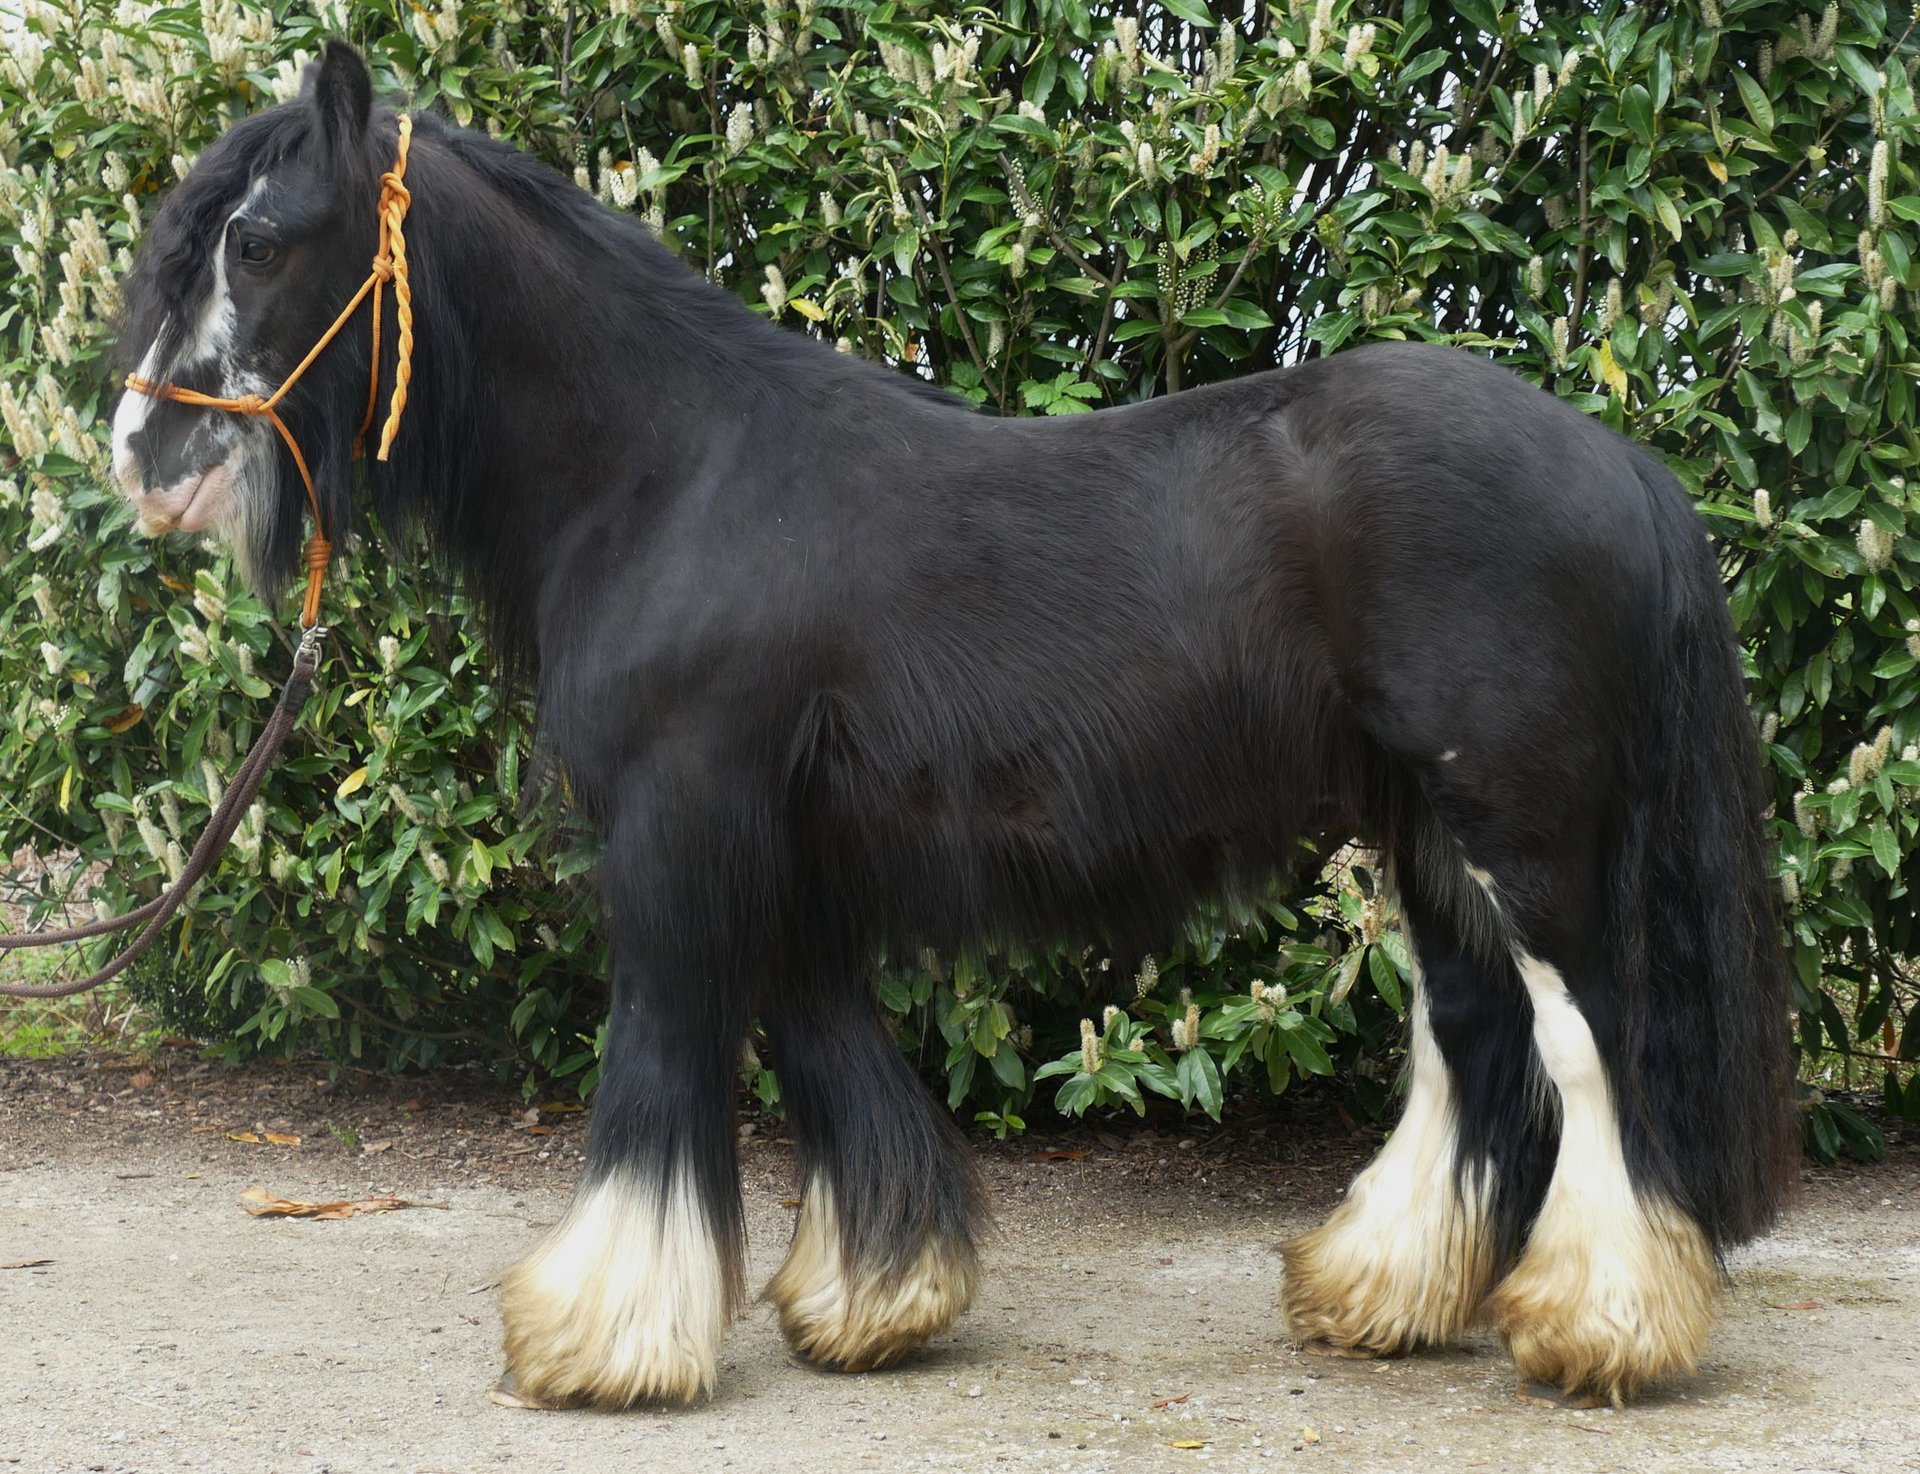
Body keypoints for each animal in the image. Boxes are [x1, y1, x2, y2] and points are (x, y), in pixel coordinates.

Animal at [106, 43, 1793, 1409]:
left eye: (258, 238)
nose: (138, 453)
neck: (670, 473)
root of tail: (1620, 461)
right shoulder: (789, 854)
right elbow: (830, 1055)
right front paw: (874, 1300)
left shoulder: (678, 827)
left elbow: (664, 1054)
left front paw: (597, 1335)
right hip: (1426, 829)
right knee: (1477, 1036)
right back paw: (1381, 1291)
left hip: (1521, 830)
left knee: (1591, 1047)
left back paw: (1601, 1324)